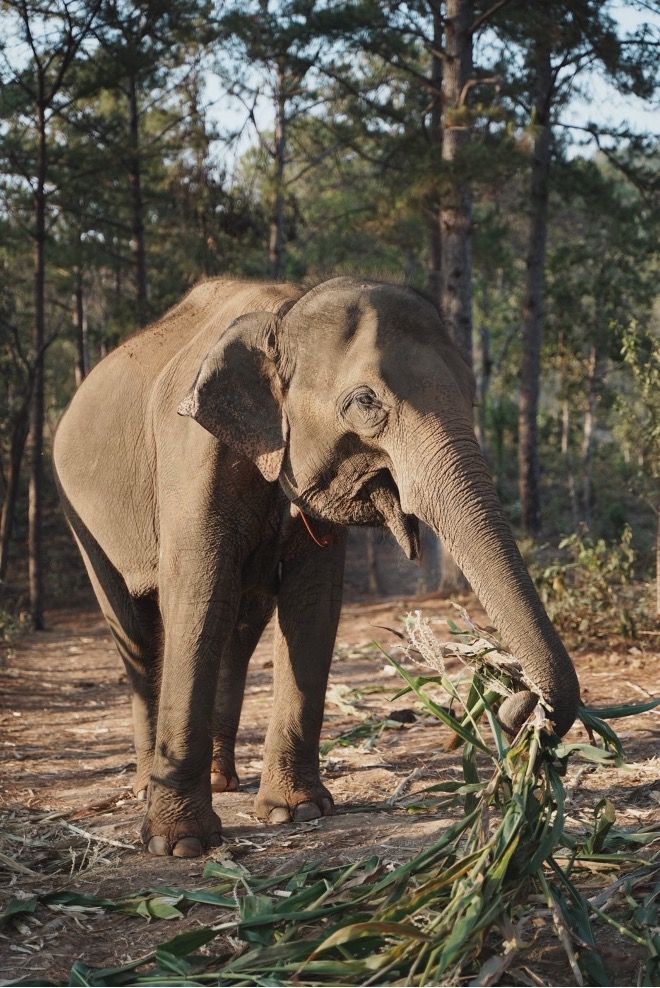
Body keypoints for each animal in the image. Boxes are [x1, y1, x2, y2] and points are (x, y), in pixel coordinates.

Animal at [53, 276, 580, 858]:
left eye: (471, 395)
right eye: (366, 401)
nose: (516, 706)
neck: (283, 312)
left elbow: (312, 606)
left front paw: (297, 811)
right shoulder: (190, 453)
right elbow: (198, 597)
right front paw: (181, 844)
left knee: (241, 622)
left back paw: (221, 779)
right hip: (81, 514)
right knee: (136, 628)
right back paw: (148, 785)